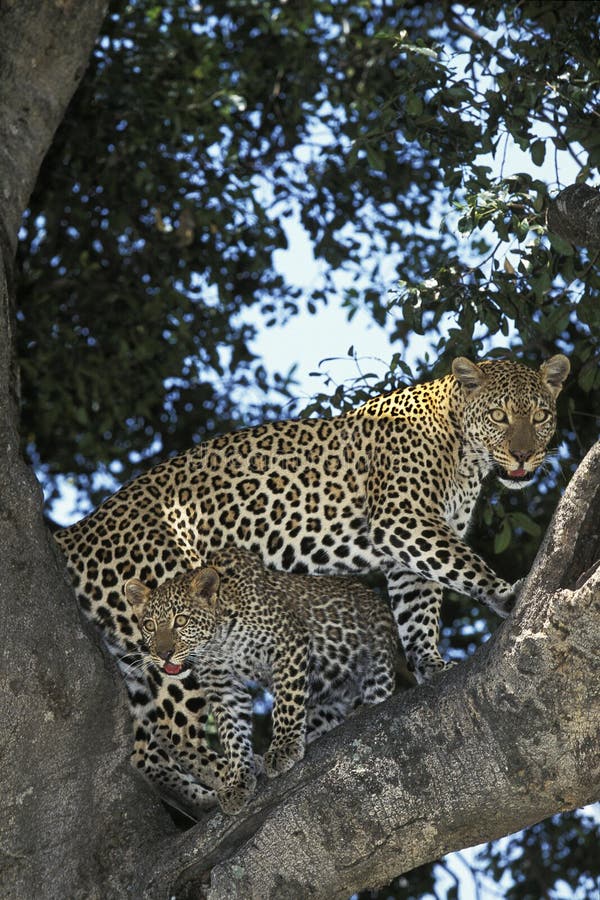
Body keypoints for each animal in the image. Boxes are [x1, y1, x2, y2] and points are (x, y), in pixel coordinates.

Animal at [124, 545, 398, 815]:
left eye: (181, 620)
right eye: (149, 625)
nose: (163, 654)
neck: (217, 642)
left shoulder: (288, 642)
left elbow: (286, 702)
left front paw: (283, 748)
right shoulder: (222, 685)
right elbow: (231, 731)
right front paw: (237, 780)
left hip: (378, 658)